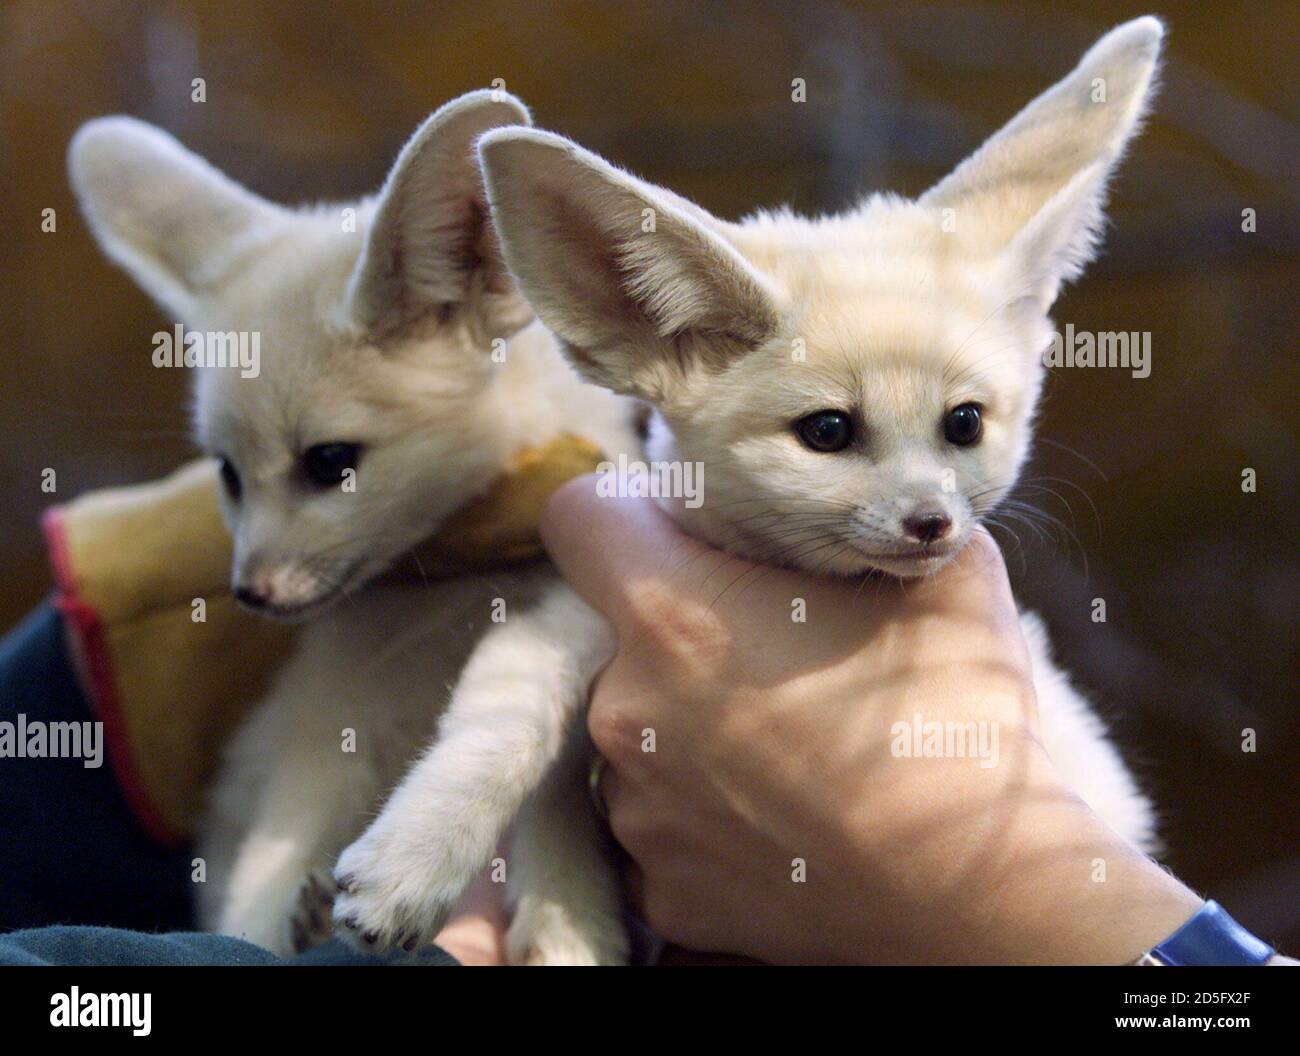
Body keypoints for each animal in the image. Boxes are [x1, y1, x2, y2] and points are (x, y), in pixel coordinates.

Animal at [68, 91, 641, 962]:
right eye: (228, 473)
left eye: (329, 462)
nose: (250, 593)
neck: (446, 598)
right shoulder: (324, 727)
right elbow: (252, 896)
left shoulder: (585, 596)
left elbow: (515, 723)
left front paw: (433, 859)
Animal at [328, 18, 1166, 959]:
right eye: (828, 431)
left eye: (964, 423)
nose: (932, 524)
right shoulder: (577, 620)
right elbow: (506, 723)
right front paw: (416, 857)